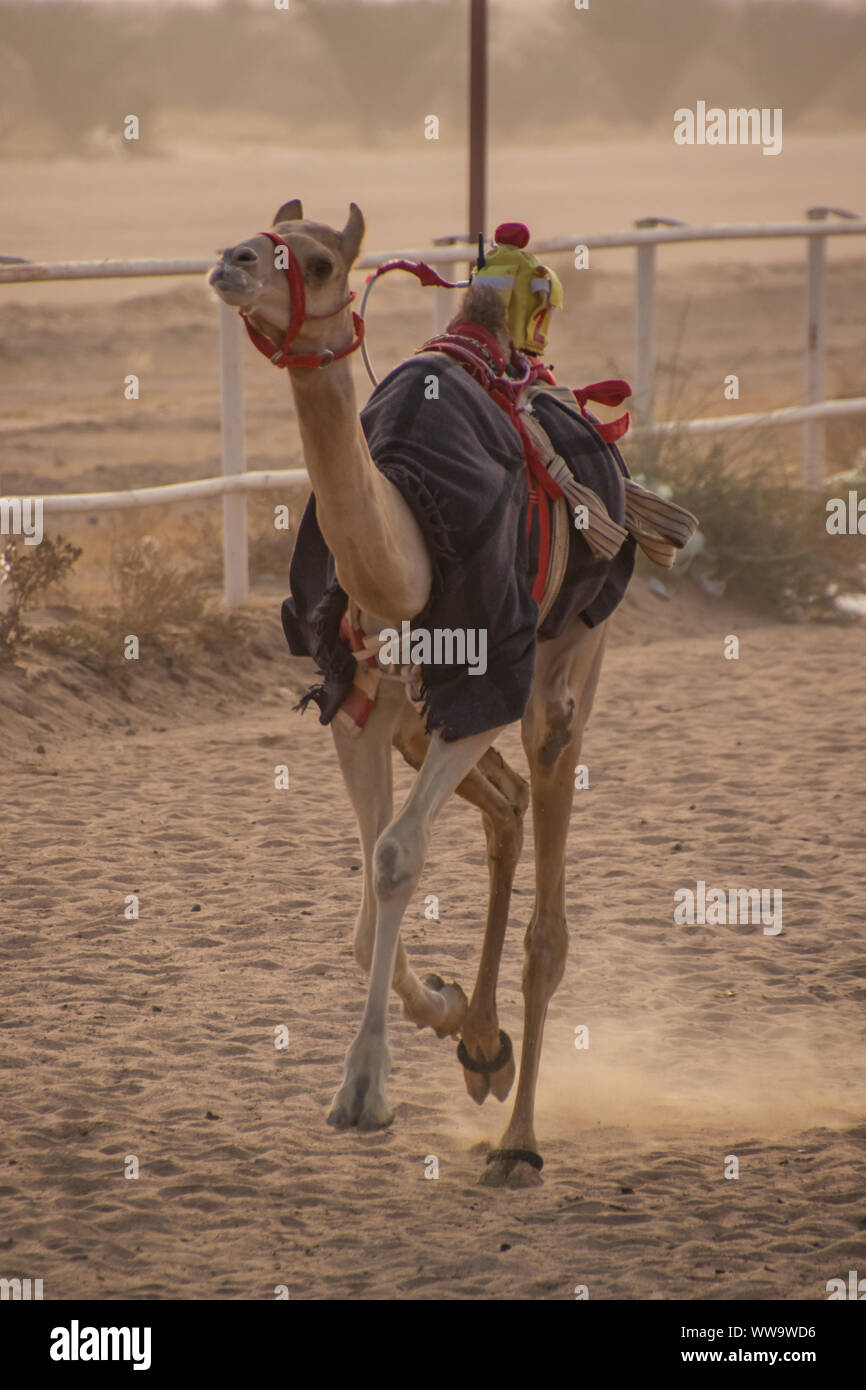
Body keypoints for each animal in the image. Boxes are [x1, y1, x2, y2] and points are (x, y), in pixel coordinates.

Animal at [209, 201, 623, 1187]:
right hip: (412, 714)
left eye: (320, 261)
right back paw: (481, 1045)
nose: (230, 264)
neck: (407, 555)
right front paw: (444, 1011)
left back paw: (518, 1142)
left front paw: (364, 1089)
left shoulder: (487, 680)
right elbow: (372, 885)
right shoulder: (356, 703)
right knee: (504, 805)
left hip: (566, 662)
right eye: (259, 232)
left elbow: (398, 856)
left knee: (546, 889)